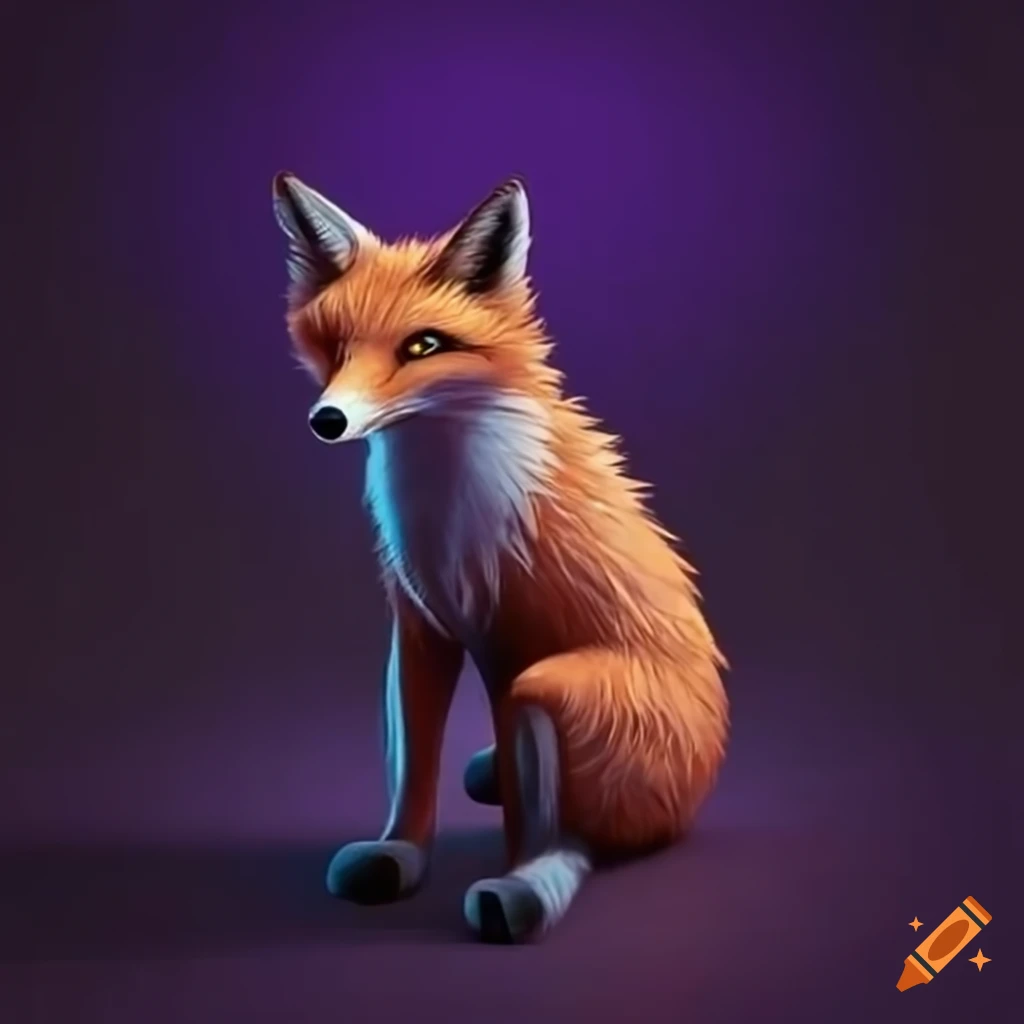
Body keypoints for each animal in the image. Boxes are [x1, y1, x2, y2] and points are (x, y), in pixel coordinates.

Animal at [270, 172, 729, 944]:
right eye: (335, 345)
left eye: (423, 345)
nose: (328, 420)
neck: (442, 501)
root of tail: (706, 779)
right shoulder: (420, 625)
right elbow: (412, 769)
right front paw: (397, 854)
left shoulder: (510, 640)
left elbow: (523, 809)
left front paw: (520, 882)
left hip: (553, 685)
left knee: (584, 828)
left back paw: (540, 879)